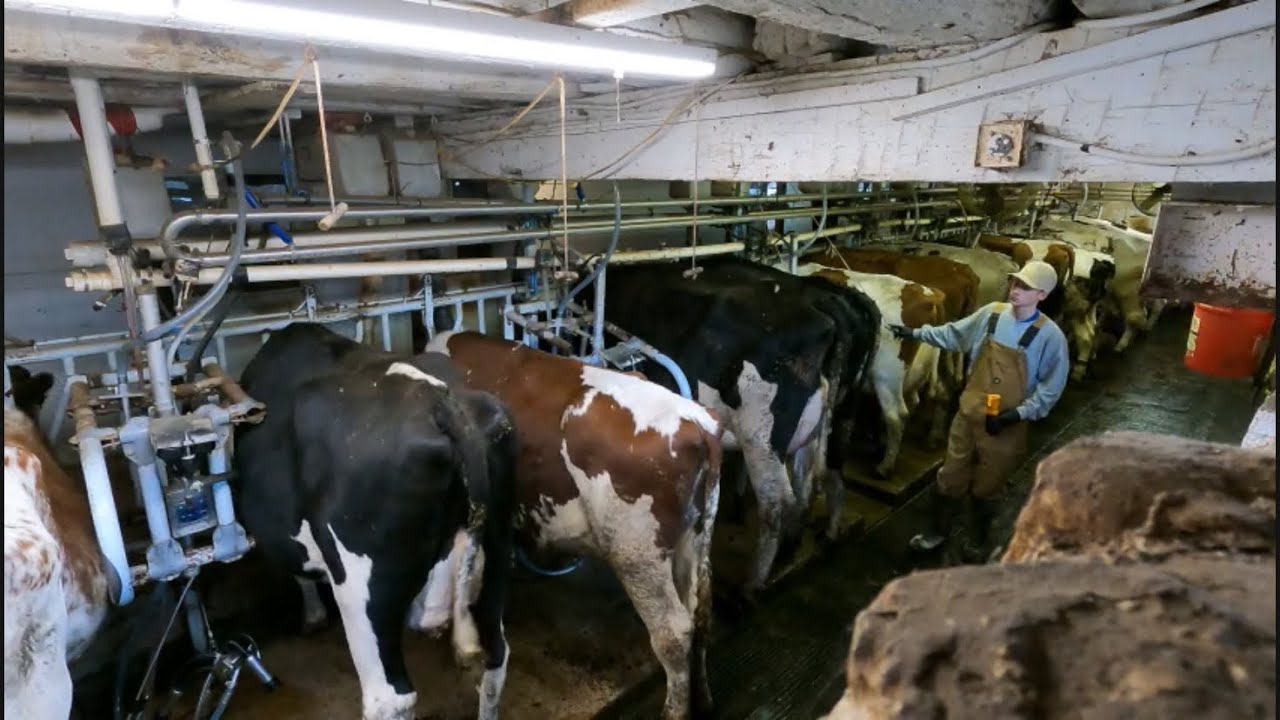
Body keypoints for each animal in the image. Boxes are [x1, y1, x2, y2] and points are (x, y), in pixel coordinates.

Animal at [233, 322, 517, 720]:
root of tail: (443, 404)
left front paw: (312, 615)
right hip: (497, 554)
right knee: (497, 658)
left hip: (362, 586)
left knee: (389, 698)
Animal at [425, 330, 724, 720]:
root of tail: (699, 424)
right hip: (695, 537)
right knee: (700, 610)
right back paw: (704, 697)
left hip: (637, 554)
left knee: (673, 632)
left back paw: (674, 710)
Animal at [597, 257, 879, 591]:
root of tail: (830, 304)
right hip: (837, 414)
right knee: (820, 474)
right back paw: (814, 539)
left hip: (763, 436)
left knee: (778, 503)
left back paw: (754, 583)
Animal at [794, 263, 948, 477]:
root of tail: (929, 296)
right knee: (940, 392)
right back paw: (932, 438)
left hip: (887, 377)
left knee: (896, 415)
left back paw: (885, 466)